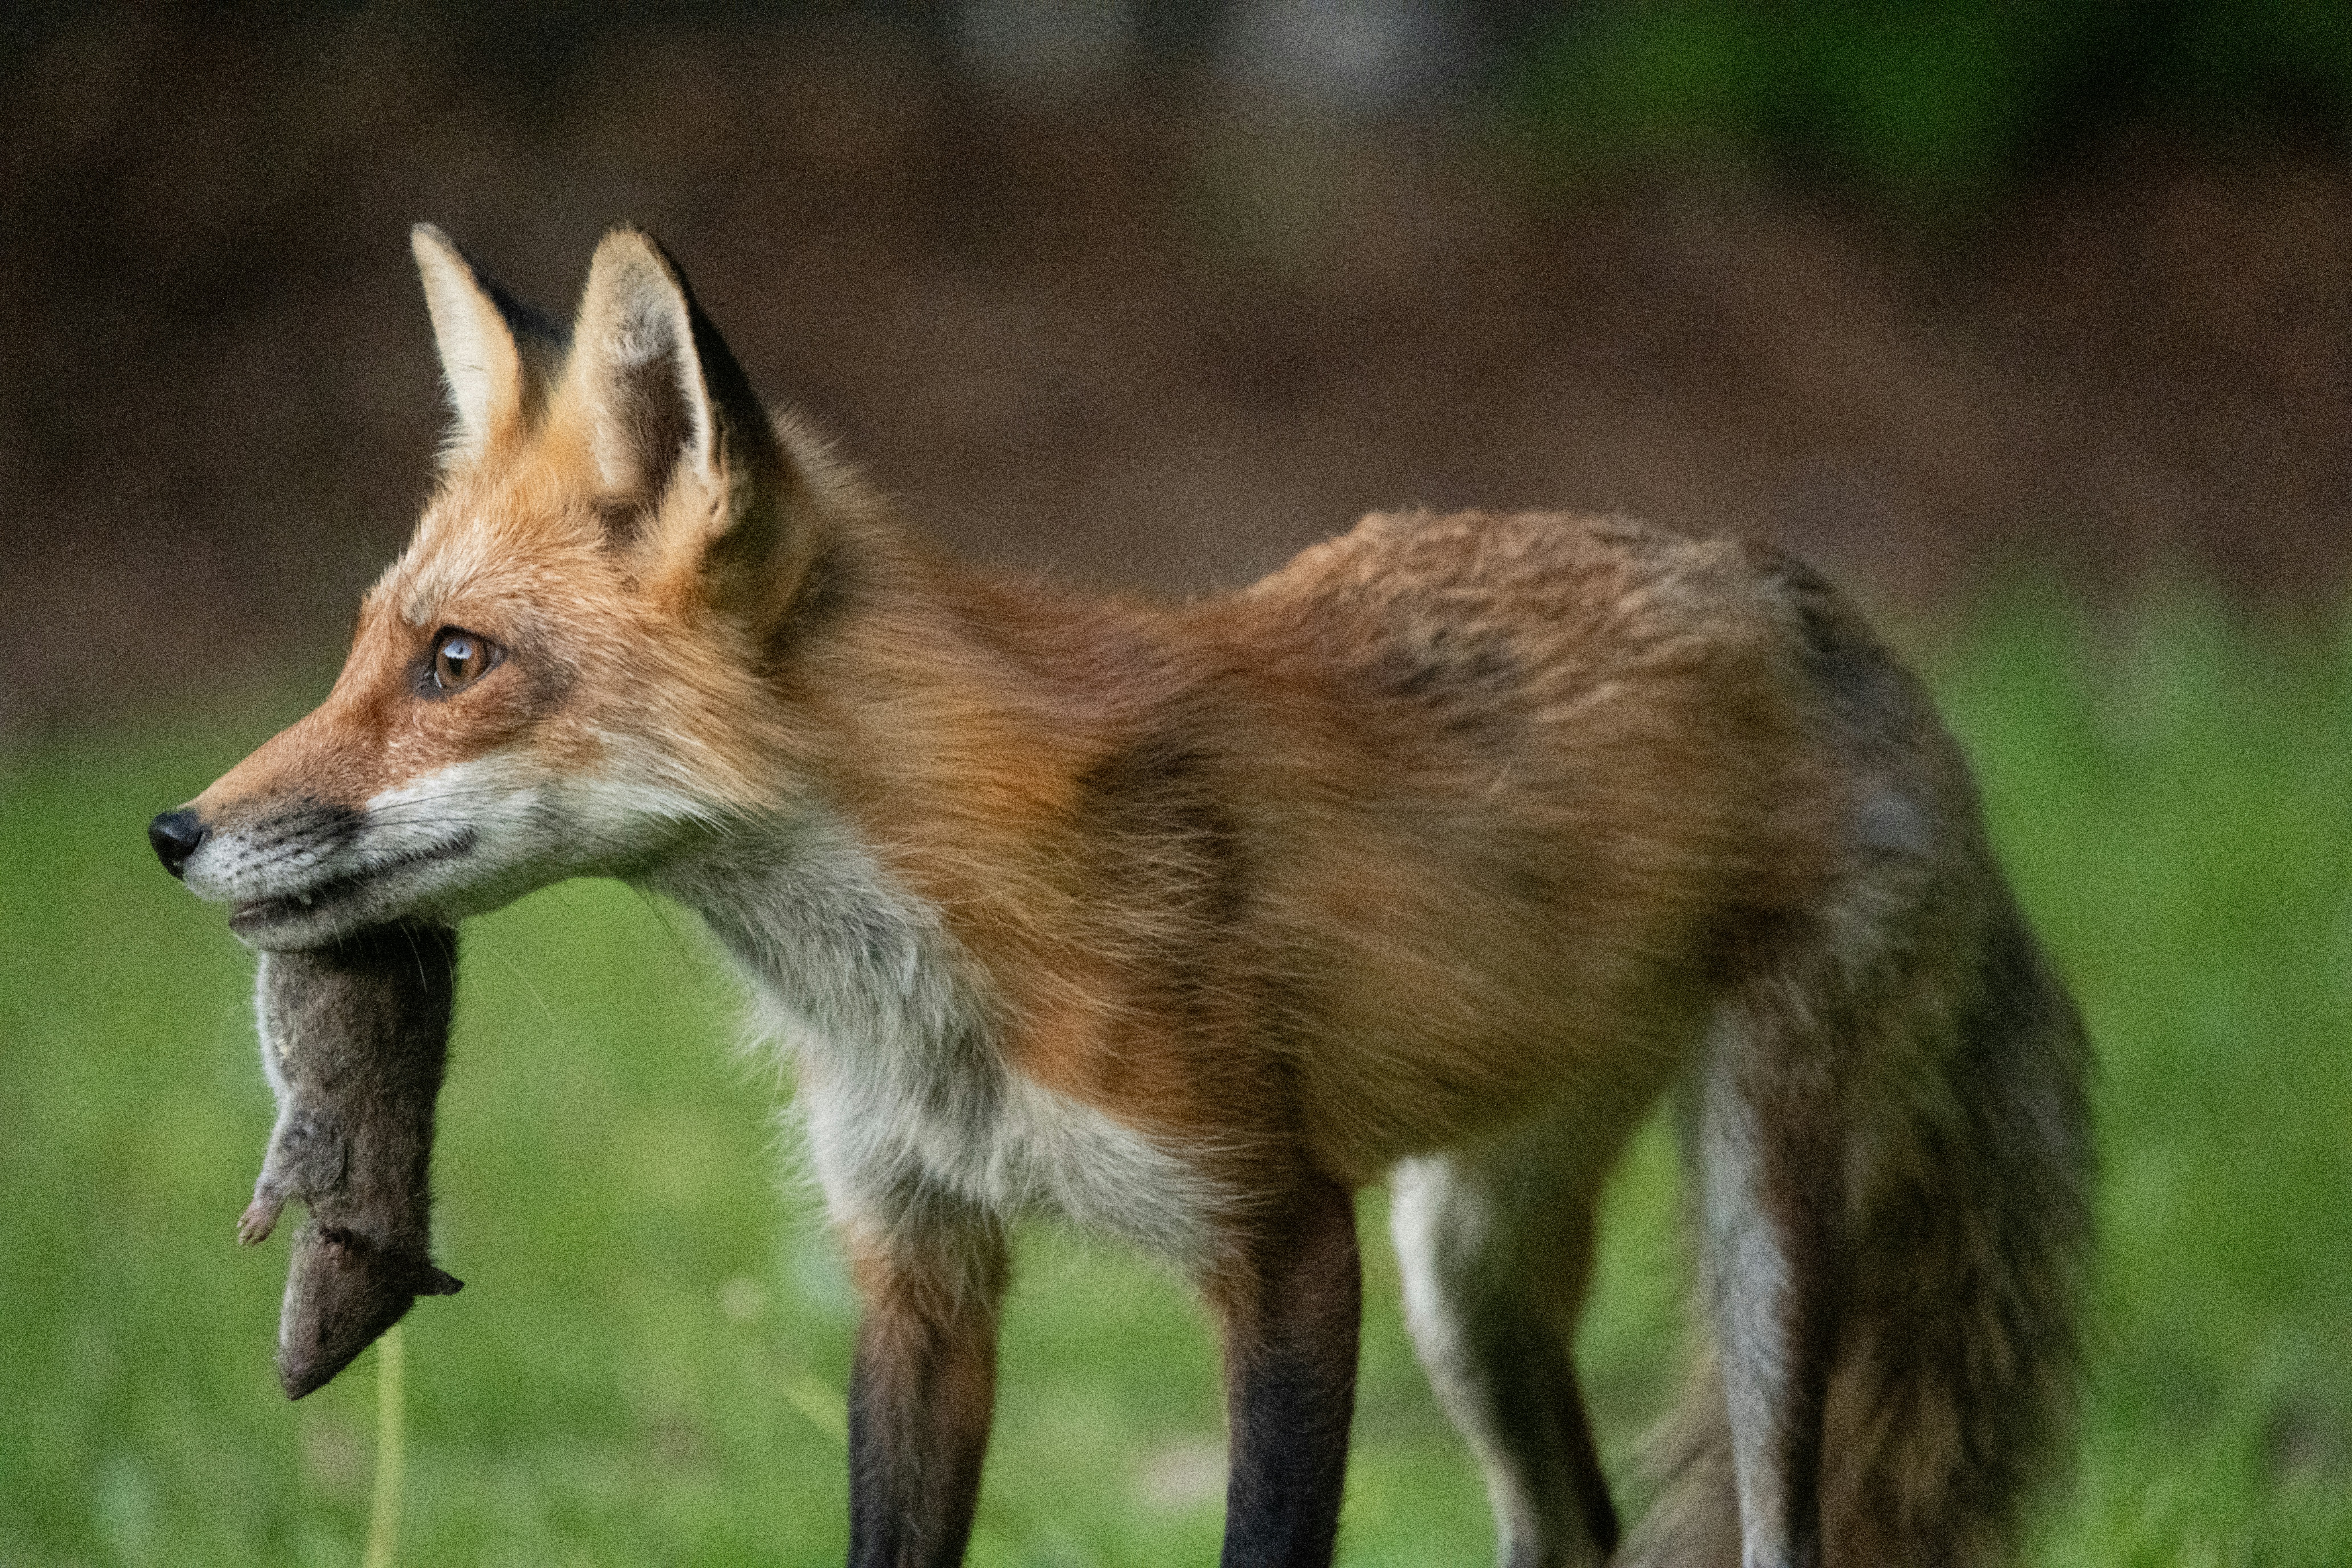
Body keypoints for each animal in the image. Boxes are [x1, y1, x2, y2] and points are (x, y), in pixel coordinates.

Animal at [149, 222, 2090, 1568]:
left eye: (457, 663)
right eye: (364, 646)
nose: (172, 831)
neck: (928, 961)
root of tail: (1828, 611)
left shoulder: (1282, 1238)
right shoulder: (917, 1258)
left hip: (1755, 1217)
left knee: (1776, 1520)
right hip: (1467, 1263)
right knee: (1571, 1528)